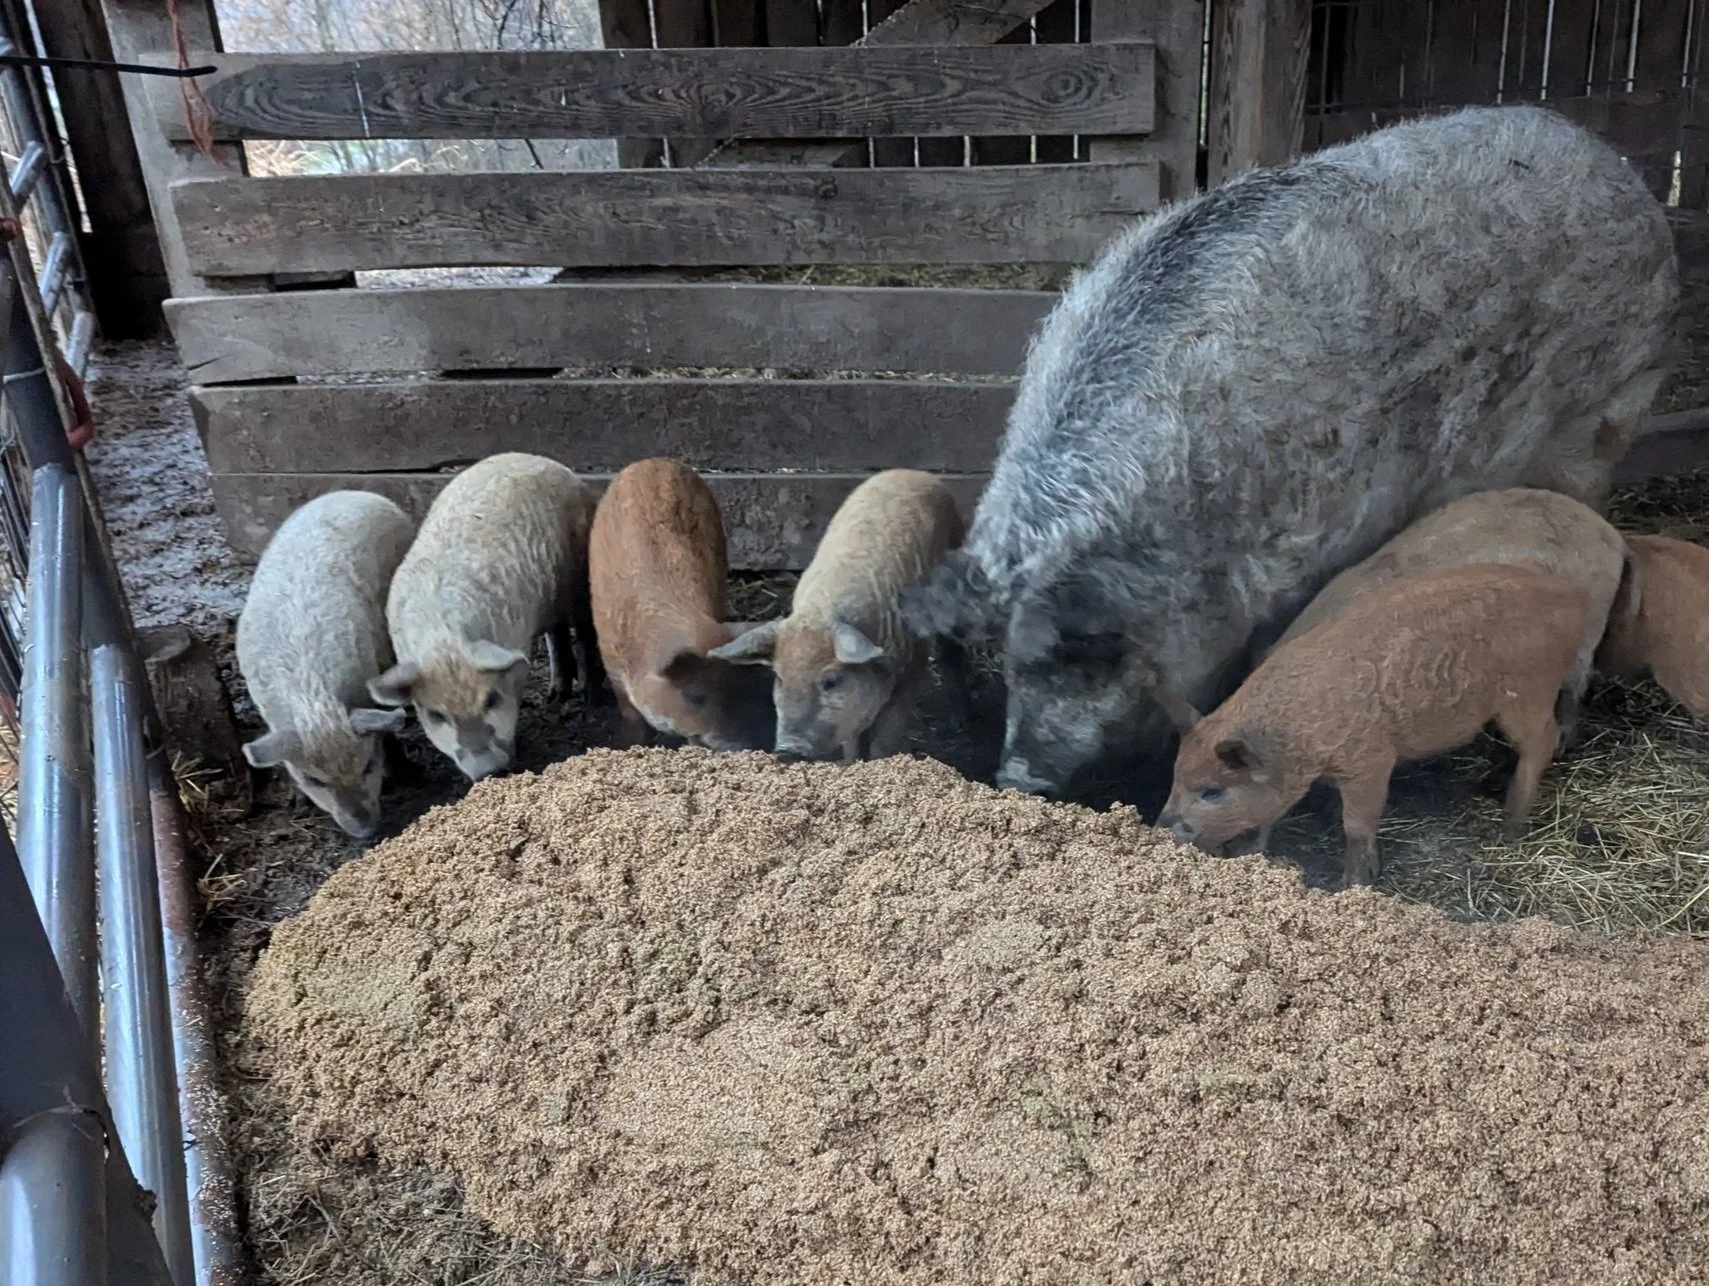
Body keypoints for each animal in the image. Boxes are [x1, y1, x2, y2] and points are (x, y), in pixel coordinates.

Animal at [237, 490, 415, 837]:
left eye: (367, 766)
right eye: (314, 780)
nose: (364, 830)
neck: (314, 705)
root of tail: (352, 493)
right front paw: (297, 804)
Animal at [368, 453, 599, 780]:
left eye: (491, 699)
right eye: (436, 715)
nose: (486, 770)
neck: (444, 640)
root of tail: (543, 459)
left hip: (579, 568)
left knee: (584, 632)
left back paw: (591, 701)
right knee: (556, 634)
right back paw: (555, 696)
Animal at [588, 457, 774, 751]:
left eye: (734, 686)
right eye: (694, 696)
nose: (737, 746)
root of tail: (655, 460)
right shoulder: (612, 664)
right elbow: (630, 717)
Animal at [708, 469, 967, 760]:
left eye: (830, 682)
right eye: (780, 678)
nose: (786, 750)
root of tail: (914, 473)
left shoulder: (913, 668)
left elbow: (886, 736)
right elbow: (852, 739)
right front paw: (851, 762)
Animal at [1155, 563, 1590, 889]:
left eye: (1212, 791)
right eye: (1174, 775)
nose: (1162, 828)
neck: (1295, 734)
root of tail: (1573, 597)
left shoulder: (1370, 759)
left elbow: (1357, 825)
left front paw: (1353, 883)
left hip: (1528, 690)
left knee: (1543, 740)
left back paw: (1509, 826)